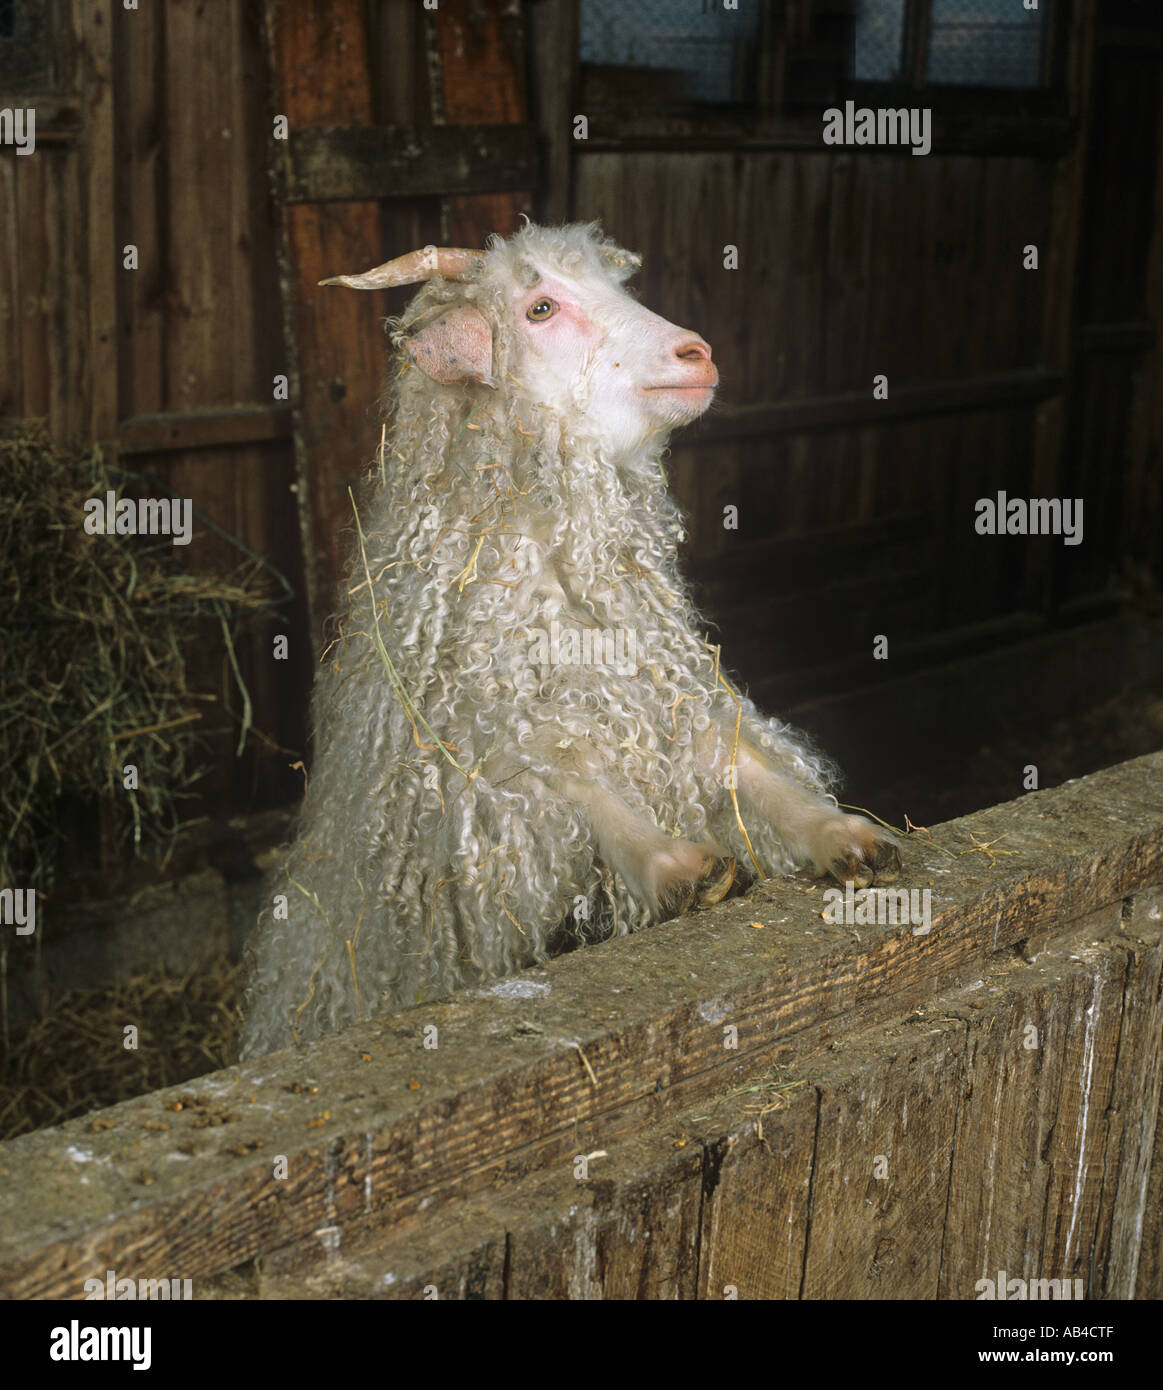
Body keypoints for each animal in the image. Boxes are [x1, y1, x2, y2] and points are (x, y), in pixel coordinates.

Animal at [239, 222, 900, 1060]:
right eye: (541, 307)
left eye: (618, 287)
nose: (696, 354)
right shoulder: (488, 752)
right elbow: (578, 788)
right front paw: (678, 866)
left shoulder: (670, 706)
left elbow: (750, 774)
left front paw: (843, 835)